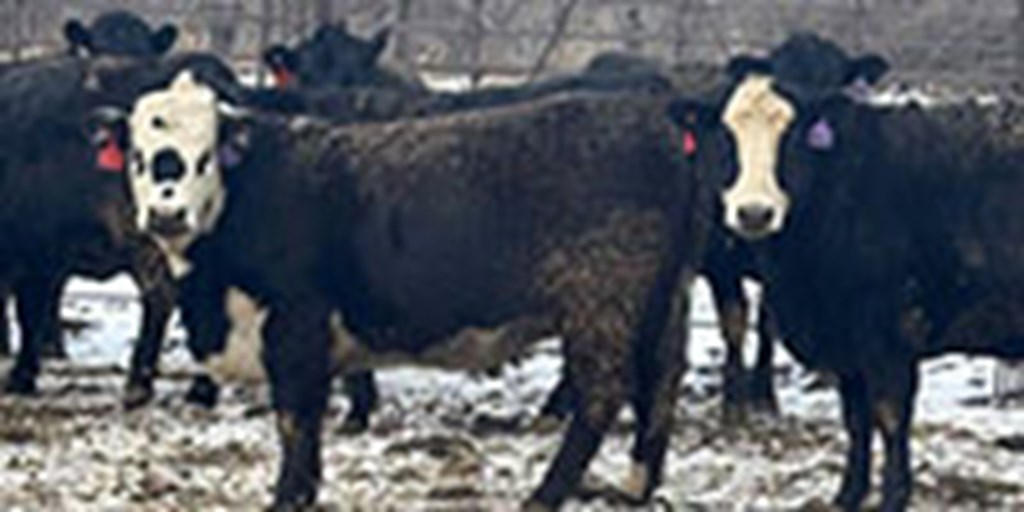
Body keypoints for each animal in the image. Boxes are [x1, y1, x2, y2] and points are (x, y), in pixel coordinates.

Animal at [102, 71, 709, 510]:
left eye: (205, 156)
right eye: (138, 154)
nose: (166, 212)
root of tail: (652, 114)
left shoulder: (295, 327)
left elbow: (295, 421)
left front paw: (288, 495)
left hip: (601, 305)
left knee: (603, 394)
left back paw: (544, 496)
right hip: (663, 302)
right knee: (660, 386)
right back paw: (634, 487)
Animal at [673, 43, 1024, 511]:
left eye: (791, 136)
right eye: (726, 137)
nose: (754, 213)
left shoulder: (889, 337)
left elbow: (890, 420)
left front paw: (893, 497)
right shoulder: (846, 344)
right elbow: (855, 420)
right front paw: (848, 494)